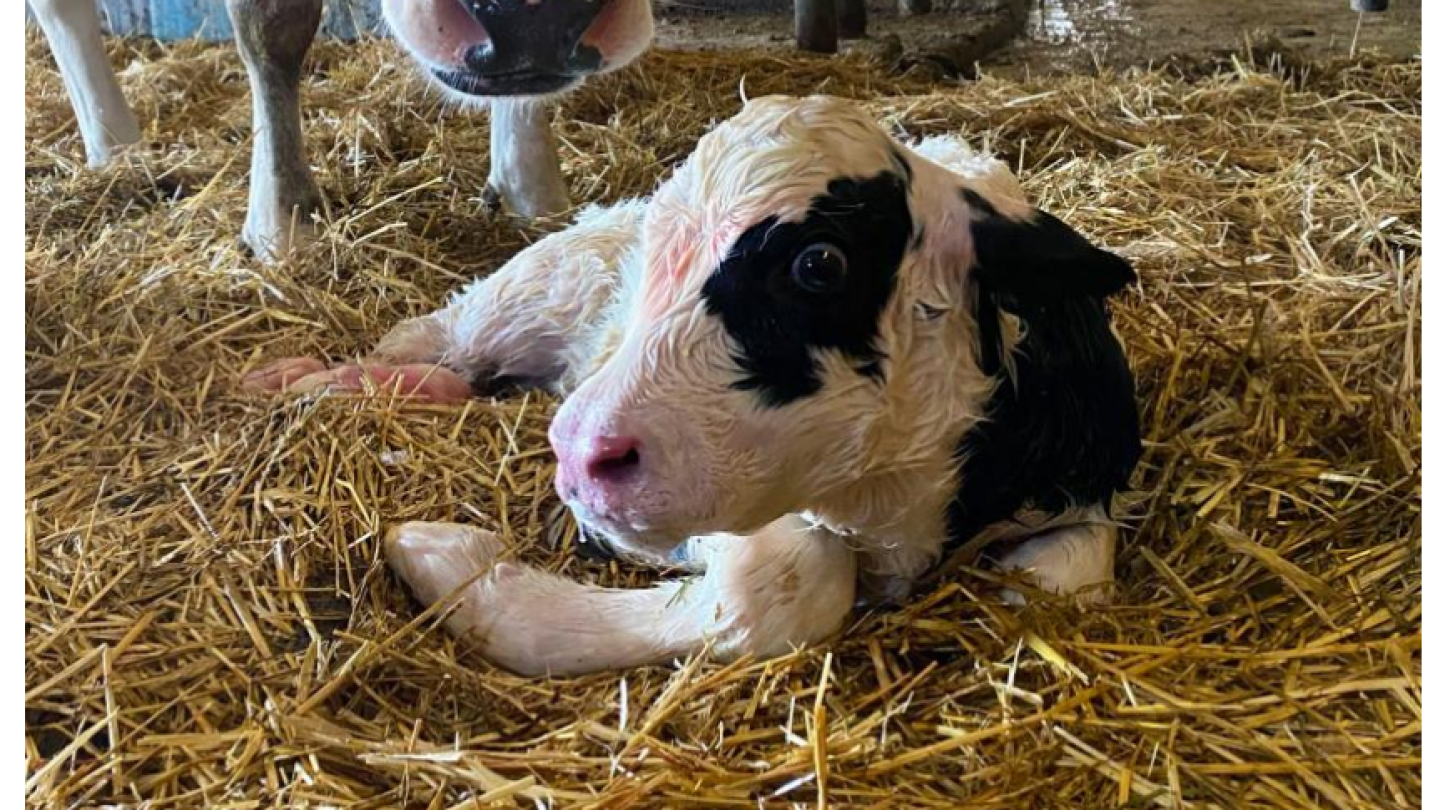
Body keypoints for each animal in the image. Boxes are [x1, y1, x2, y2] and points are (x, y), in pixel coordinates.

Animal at [247, 94, 1142, 677]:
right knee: (430, 336)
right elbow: (794, 581)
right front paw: (450, 560)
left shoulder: (1085, 485)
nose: (579, 454)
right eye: (662, 248)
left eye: (819, 264)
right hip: (539, 282)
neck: (900, 509)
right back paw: (311, 381)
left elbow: (1062, 581)